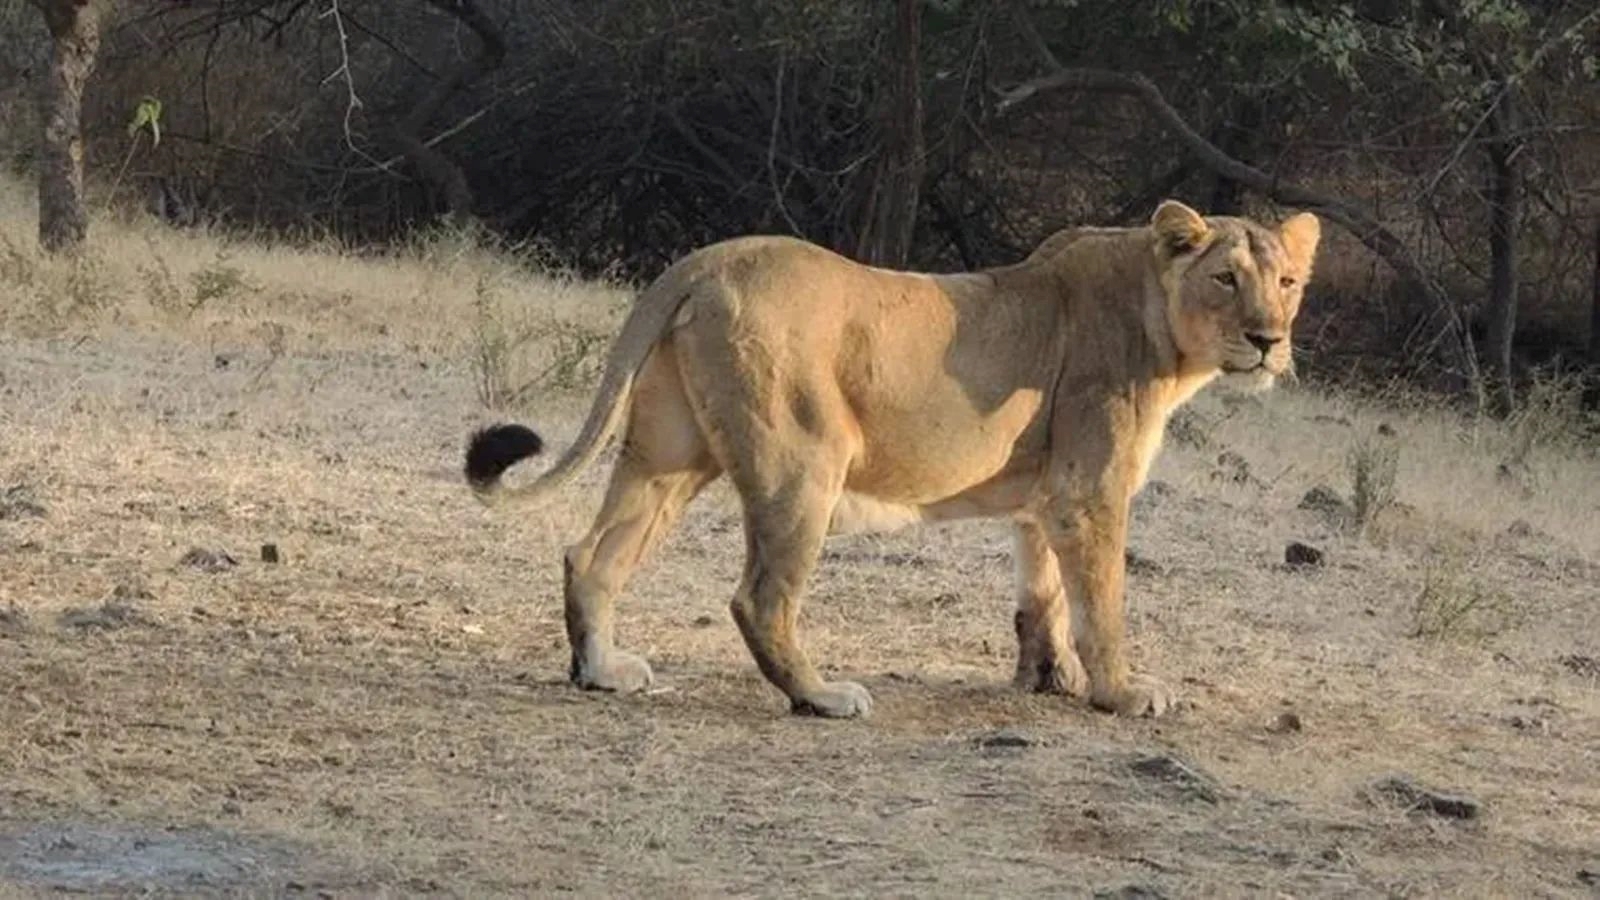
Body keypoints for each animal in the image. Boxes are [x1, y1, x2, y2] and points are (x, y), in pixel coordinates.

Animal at [464, 199, 1320, 719]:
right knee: (758, 598)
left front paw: (1047, 681)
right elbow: (1101, 604)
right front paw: (1120, 691)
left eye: (1286, 282)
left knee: (590, 555)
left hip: (669, 454)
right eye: (1225, 279)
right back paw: (821, 696)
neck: (1161, 325)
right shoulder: (1091, 491)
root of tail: (707, 260)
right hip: (805, 460)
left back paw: (602, 670)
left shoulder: (1045, 498)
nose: (1268, 339)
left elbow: (1042, 596)